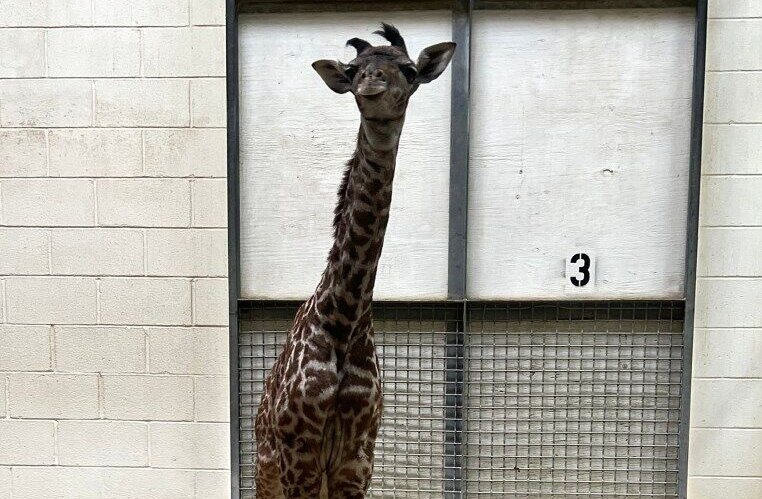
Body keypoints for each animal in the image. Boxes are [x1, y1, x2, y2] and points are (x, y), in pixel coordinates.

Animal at [254, 24, 455, 499]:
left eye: (409, 70)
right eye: (352, 70)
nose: (371, 84)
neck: (345, 320)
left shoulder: (357, 458)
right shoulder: (300, 457)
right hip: (267, 474)